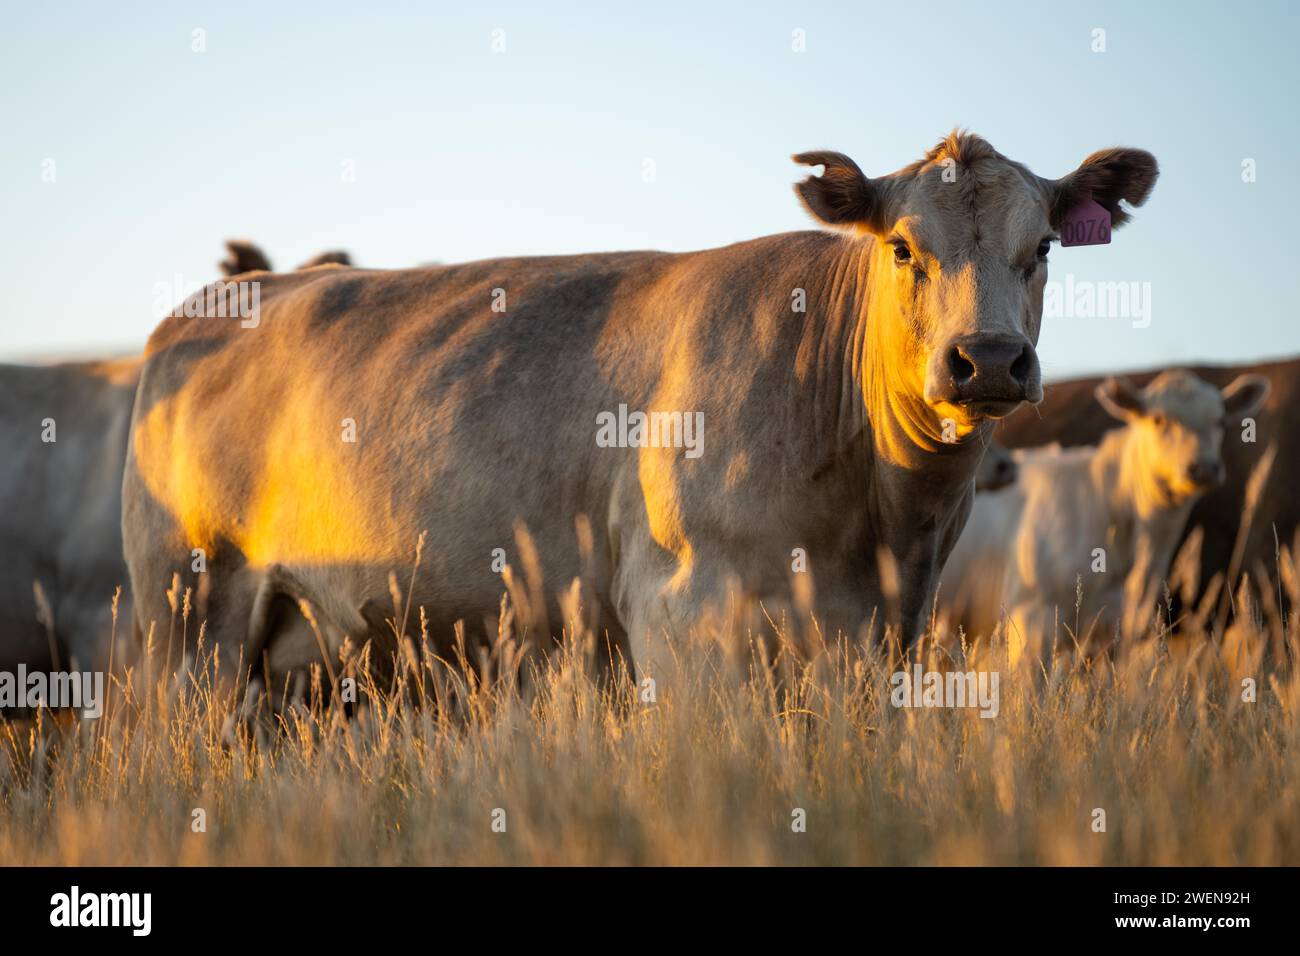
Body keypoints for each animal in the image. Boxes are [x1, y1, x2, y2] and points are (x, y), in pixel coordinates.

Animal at [121, 132, 1158, 690]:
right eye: (903, 247)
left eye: (1044, 248)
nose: (988, 358)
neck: (886, 523)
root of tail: (213, 304)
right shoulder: (678, 615)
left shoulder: (887, 636)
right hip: (192, 617)